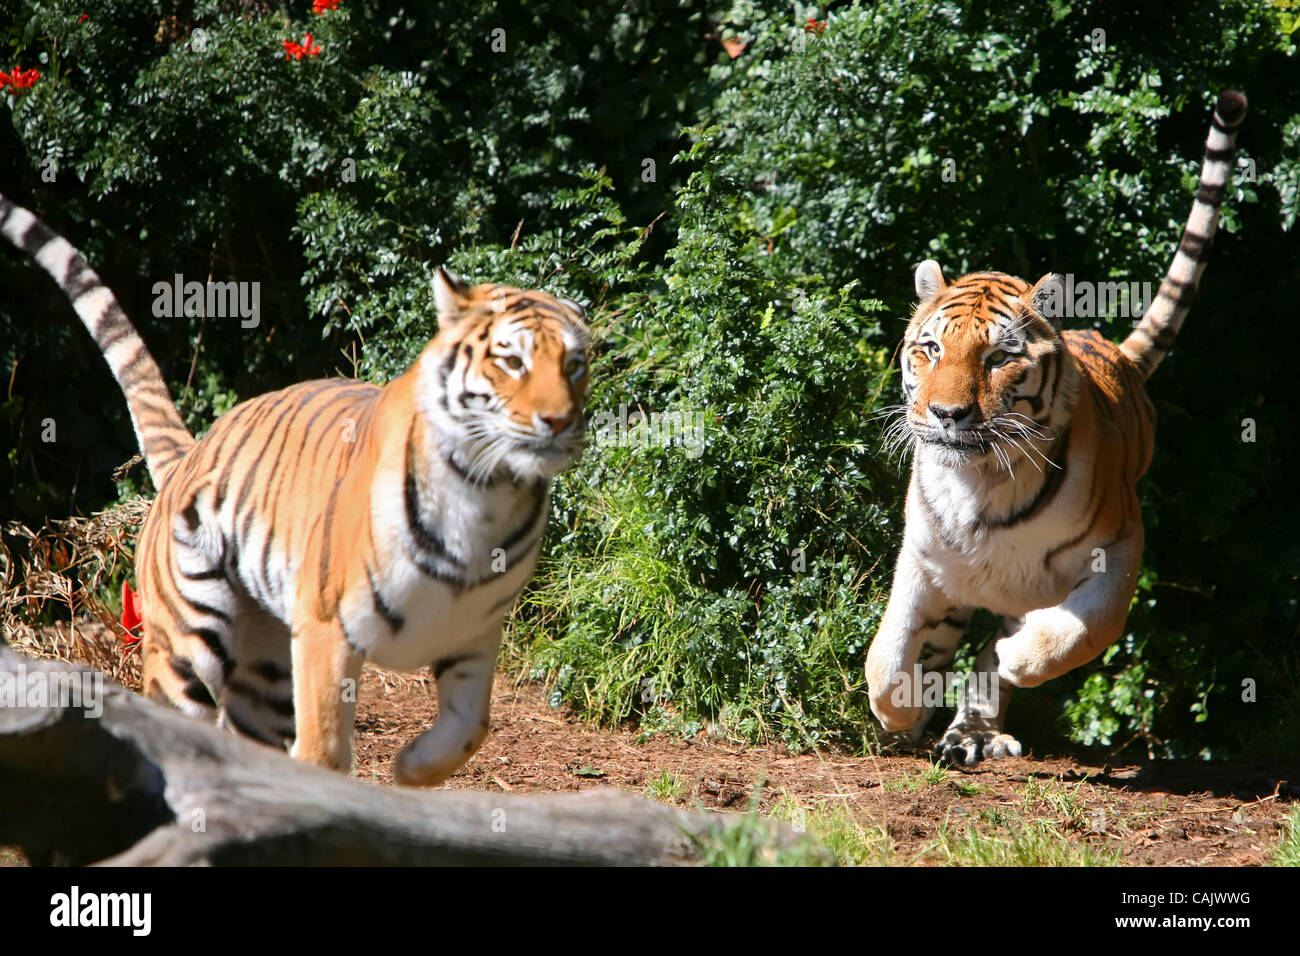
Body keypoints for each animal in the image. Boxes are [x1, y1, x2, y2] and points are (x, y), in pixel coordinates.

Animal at [0, 194, 590, 785]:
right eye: (512, 361)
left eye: (574, 365)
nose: (560, 422)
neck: (483, 491)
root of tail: (195, 450)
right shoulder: (328, 628)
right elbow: (323, 749)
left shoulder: (472, 635)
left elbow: (471, 728)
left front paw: (410, 769)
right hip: (188, 643)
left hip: (265, 673)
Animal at [864, 90, 1247, 766]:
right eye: (931, 349)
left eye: (997, 357)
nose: (946, 414)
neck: (979, 481)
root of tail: (1114, 350)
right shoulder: (923, 559)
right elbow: (885, 655)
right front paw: (897, 711)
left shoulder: (1121, 548)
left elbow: (1080, 631)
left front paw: (1020, 657)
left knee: (997, 649)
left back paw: (977, 727)